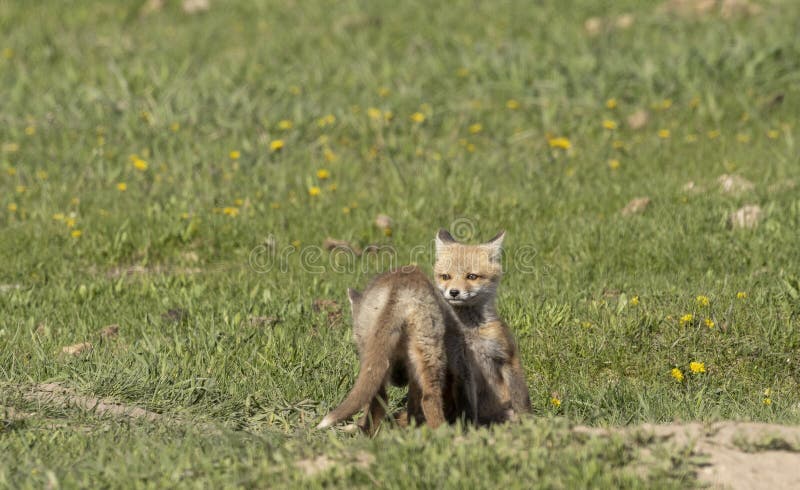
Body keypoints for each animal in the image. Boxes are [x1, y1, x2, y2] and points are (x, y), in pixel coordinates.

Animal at [316, 266, 477, 434]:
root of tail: (400, 291)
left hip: (382, 352)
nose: (399, 382)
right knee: (426, 399)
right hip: (426, 352)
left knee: (382, 399)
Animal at [434, 229, 532, 424]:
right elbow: (468, 408)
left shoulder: (507, 356)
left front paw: (529, 422)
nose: (454, 292)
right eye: (446, 276)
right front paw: (469, 428)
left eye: (471, 276)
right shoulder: (462, 369)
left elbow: (521, 399)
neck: (472, 334)